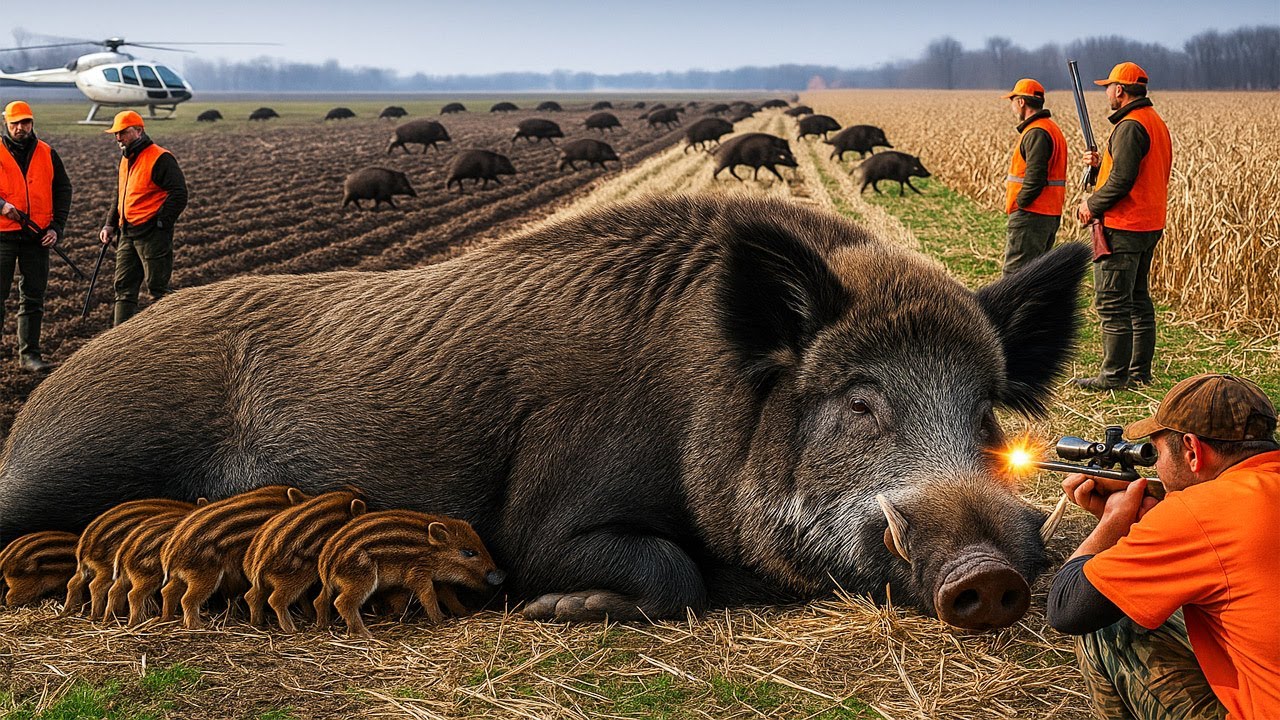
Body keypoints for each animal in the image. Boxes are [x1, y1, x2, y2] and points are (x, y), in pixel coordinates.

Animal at [159, 485, 309, 629]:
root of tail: (171, 552)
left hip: (183, 575)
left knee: (167, 591)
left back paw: (167, 618)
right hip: (203, 574)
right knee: (187, 599)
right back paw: (196, 626)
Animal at [243, 489, 366, 632]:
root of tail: (259, 563)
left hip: (265, 582)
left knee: (251, 596)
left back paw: (257, 623)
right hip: (295, 577)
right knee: (275, 600)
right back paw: (291, 629)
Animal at [314, 510, 505, 638]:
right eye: (468, 552)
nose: (499, 574)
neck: (430, 550)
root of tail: (325, 566)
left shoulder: (436, 578)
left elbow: (448, 595)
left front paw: (465, 611)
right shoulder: (418, 572)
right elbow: (428, 595)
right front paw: (440, 619)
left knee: (319, 601)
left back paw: (324, 626)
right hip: (362, 578)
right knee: (342, 602)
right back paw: (365, 634)